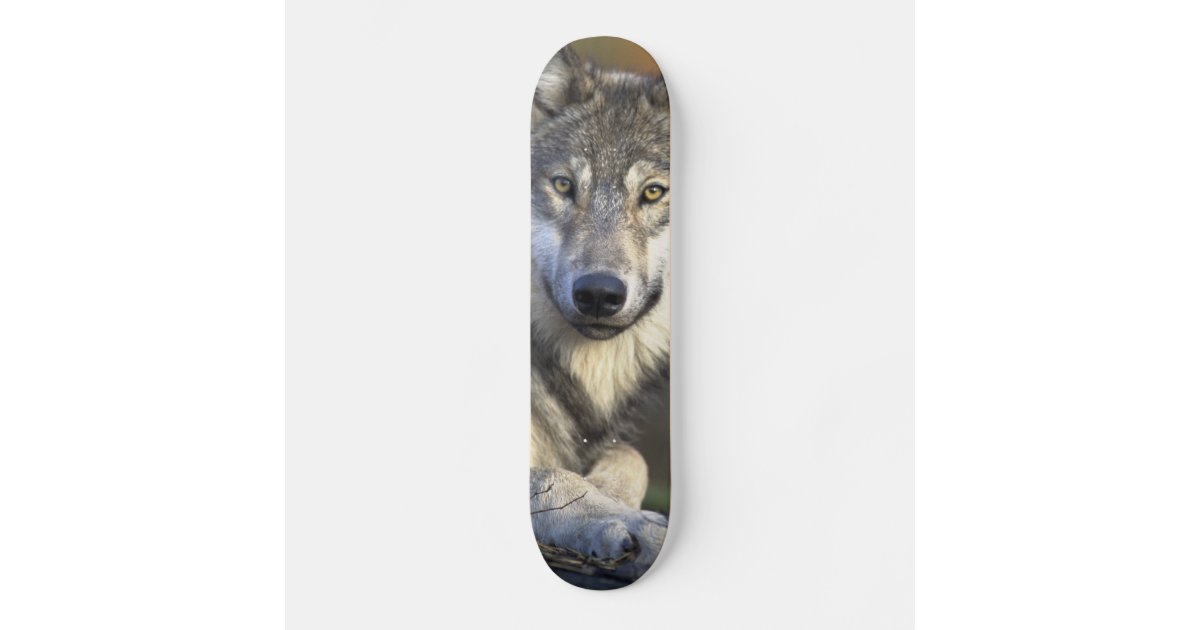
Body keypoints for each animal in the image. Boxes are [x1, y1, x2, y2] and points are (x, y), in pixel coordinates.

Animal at [529, 45, 671, 579]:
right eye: (563, 185)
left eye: (653, 192)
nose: (597, 294)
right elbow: (551, 477)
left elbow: (631, 455)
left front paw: (612, 498)